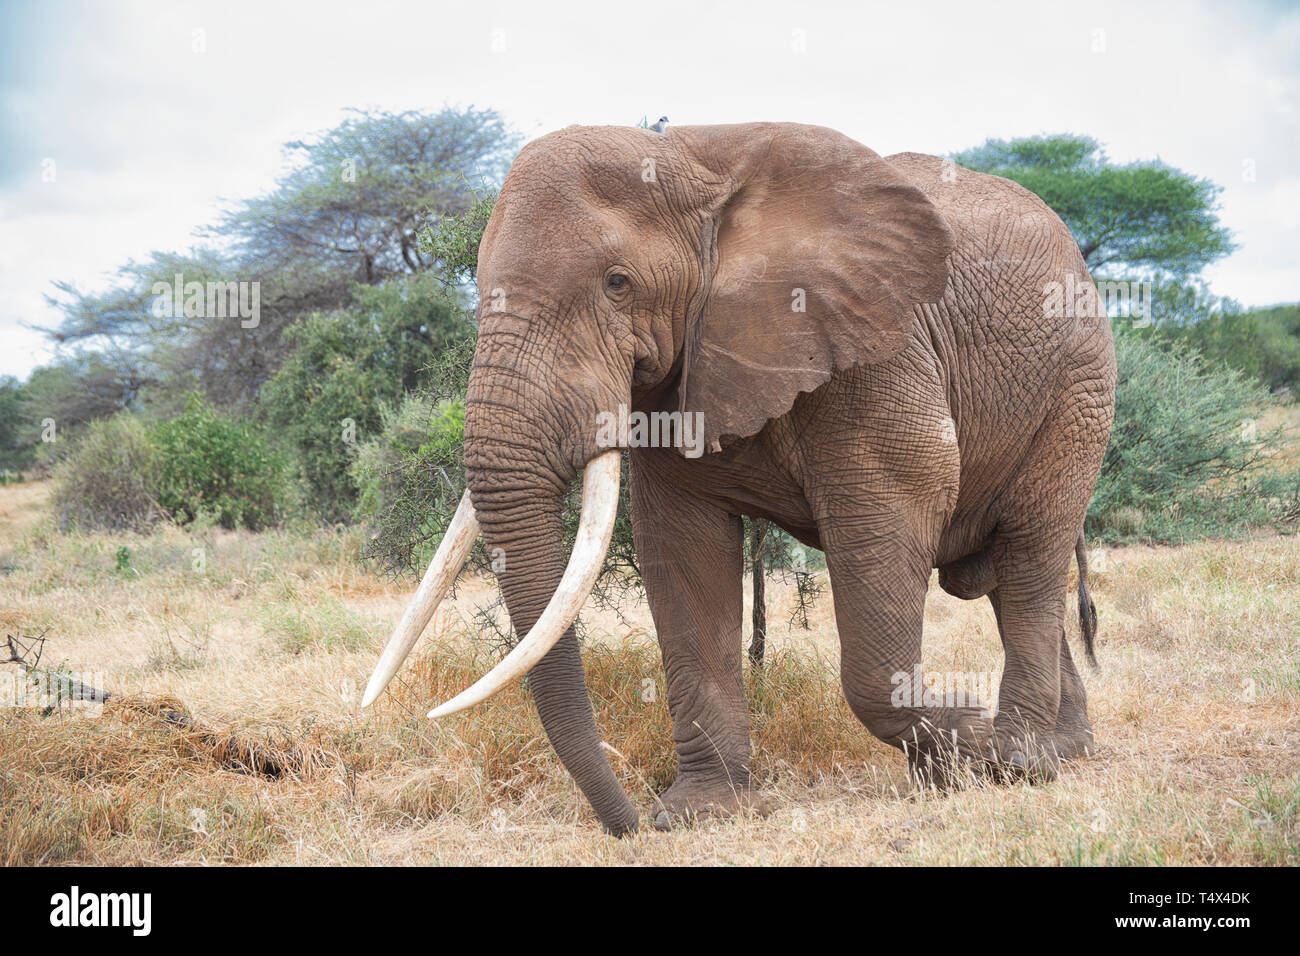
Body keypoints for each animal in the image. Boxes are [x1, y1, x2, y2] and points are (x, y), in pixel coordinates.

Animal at [363, 122, 1116, 837]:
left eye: (617, 283)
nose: (630, 824)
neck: (694, 165)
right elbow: (683, 549)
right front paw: (699, 813)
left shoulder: (878, 347)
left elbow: (898, 511)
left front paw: (967, 742)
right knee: (1004, 579)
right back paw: (1065, 750)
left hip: (1079, 388)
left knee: (1029, 552)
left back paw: (1021, 762)